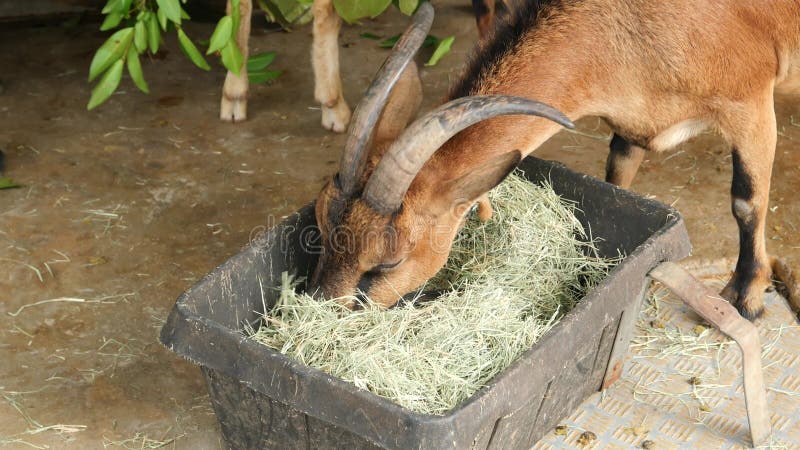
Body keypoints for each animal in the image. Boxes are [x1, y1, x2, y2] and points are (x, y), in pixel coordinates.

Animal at [309, 1, 800, 321]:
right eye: (320, 224)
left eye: (388, 262)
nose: (324, 310)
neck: (628, 30)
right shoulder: (633, 121)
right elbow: (618, 177)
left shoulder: (750, 99)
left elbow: (747, 201)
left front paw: (747, 299)